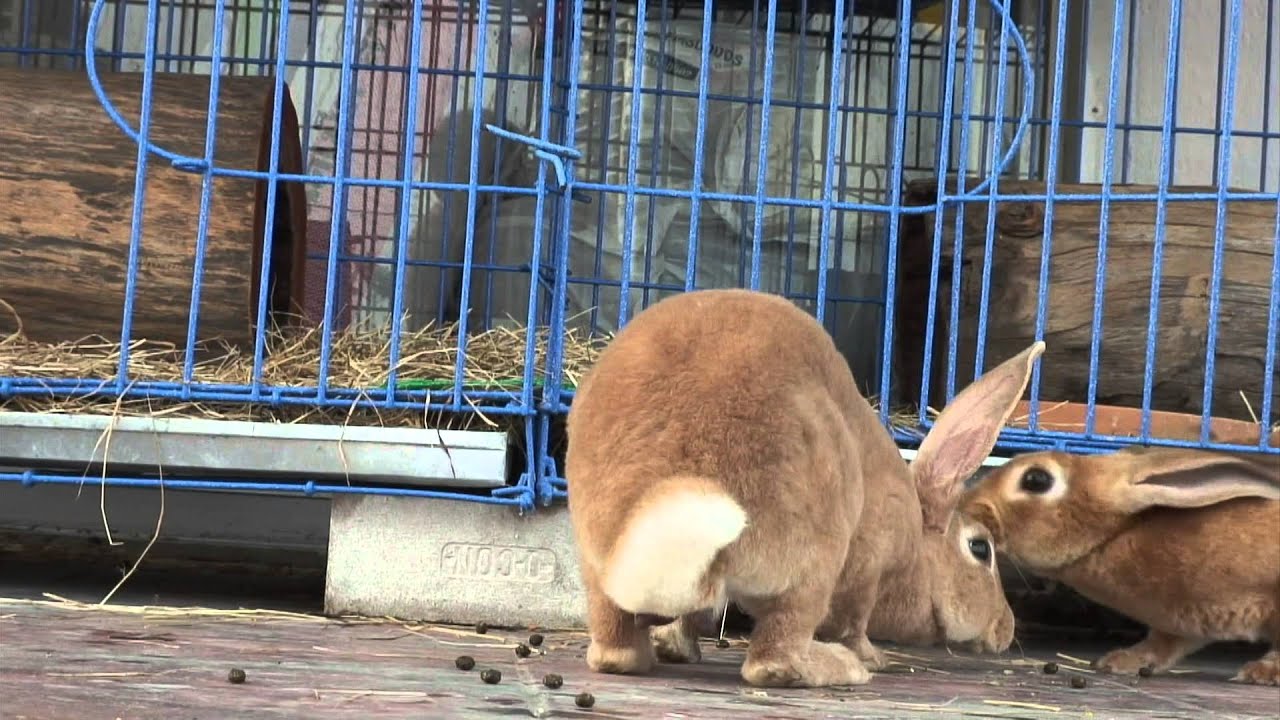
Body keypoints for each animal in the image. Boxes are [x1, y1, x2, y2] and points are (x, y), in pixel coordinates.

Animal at [564, 287, 1045, 688]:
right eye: (980, 549)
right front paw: (872, 658)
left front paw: (677, 646)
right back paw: (842, 668)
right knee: (774, 659)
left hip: (598, 564)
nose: (1006, 629)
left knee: (615, 650)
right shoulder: (870, 562)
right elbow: (854, 622)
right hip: (815, 556)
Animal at [960, 445, 1280, 685]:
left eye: (1036, 479)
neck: (1117, 534)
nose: (970, 503)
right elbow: (1163, 645)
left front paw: (1262, 672)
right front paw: (1119, 661)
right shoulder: (1184, 622)